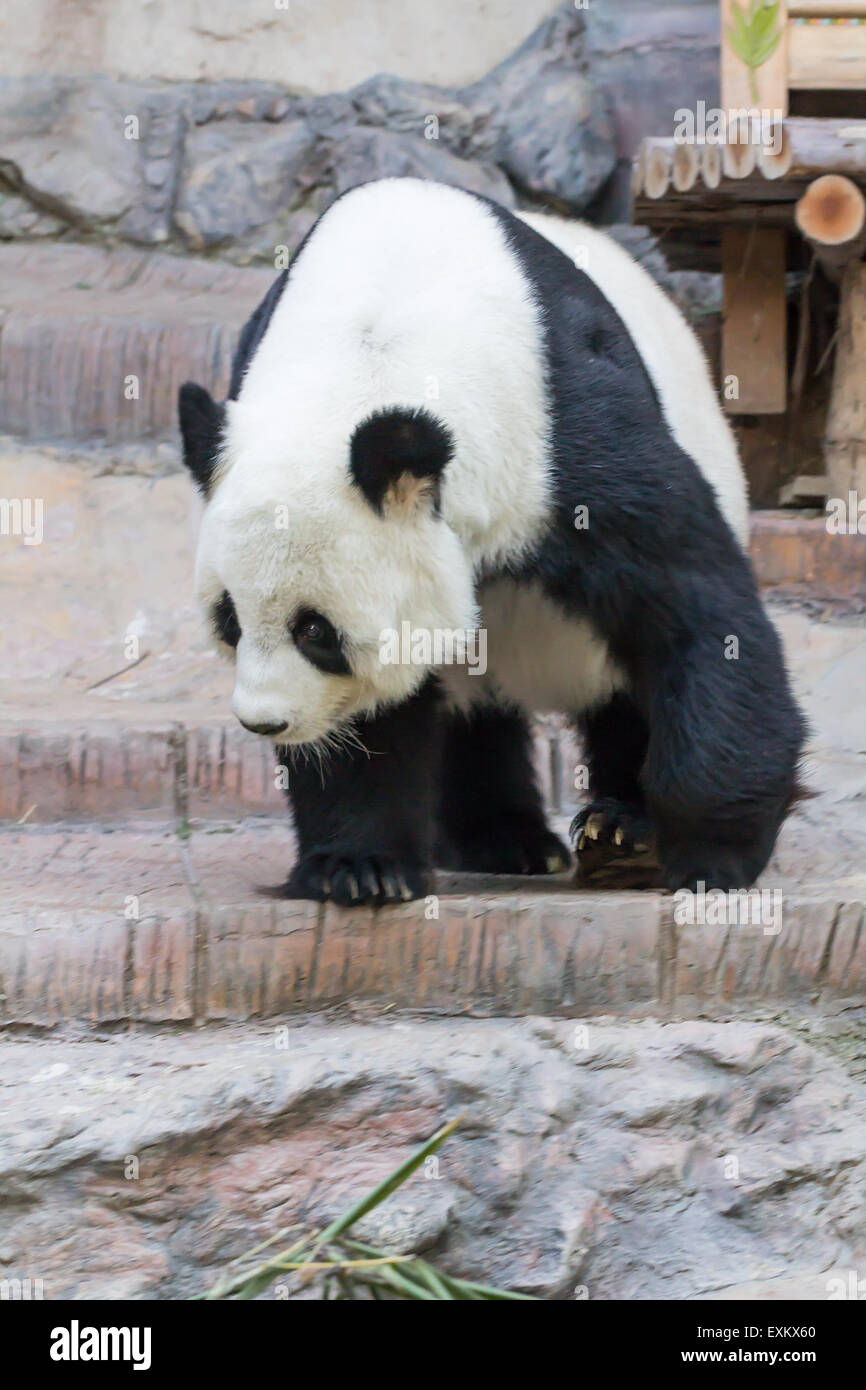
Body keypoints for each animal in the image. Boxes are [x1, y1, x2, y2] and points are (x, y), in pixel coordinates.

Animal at [178, 177, 805, 906]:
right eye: (229, 621)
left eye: (316, 631)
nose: (264, 722)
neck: (374, 348)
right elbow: (375, 711)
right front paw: (359, 867)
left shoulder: (562, 435)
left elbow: (693, 614)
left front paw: (712, 855)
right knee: (471, 714)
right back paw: (506, 839)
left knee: (626, 693)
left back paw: (621, 830)